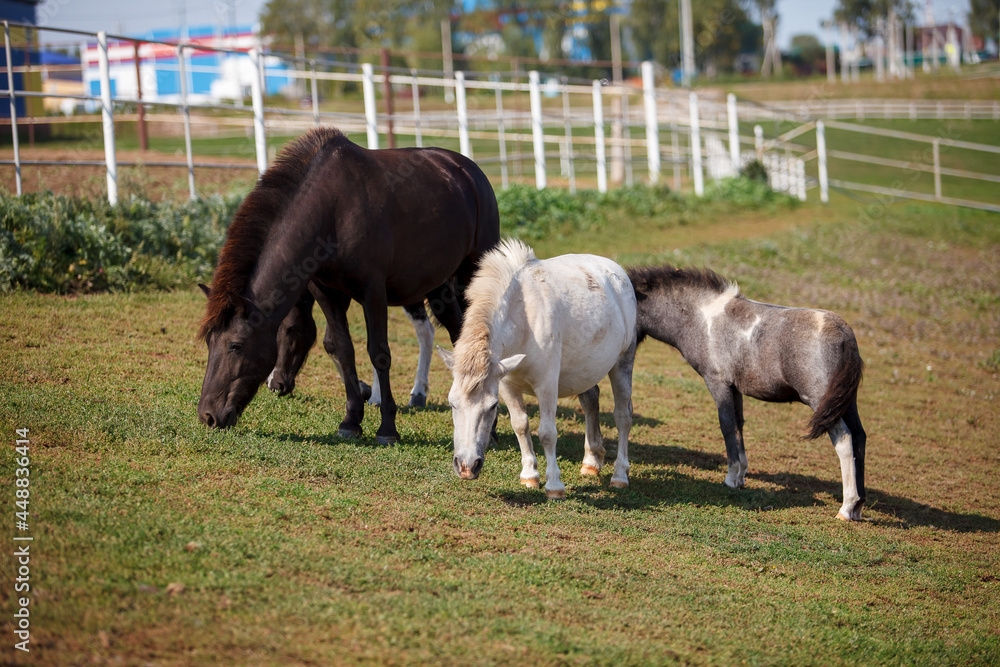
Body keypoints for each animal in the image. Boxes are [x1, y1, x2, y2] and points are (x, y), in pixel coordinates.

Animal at [265, 285, 440, 408]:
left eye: (291, 329)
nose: (274, 384)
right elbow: (333, 344)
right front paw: (363, 389)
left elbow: (333, 342)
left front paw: (372, 395)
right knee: (426, 331)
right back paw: (418, 394)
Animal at [438, 239, 637, 500]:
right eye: (452, 404)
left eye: (491, 407)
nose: (467, 466)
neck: (524, 318)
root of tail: (617, 271)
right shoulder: (507, 384)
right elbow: (520, 425)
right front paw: (529, 476)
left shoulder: (546, 385)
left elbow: (547, 433)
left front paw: (554, 486)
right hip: (584, 370)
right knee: (591, 402)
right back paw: (591, 463)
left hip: (623, 363)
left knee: (623, 417)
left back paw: (619, 476)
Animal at [628, 265, 866, 521]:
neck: (702, 317)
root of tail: (845, 334)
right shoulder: (735, 388)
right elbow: (738, 425)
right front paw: (741, 475)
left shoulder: (718, 382)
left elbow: (726, 425)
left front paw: (731, 478)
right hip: (845, 402)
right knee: (859, 437)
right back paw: (859, 505)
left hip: (820, 401)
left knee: (844, 439)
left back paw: (847, 507)